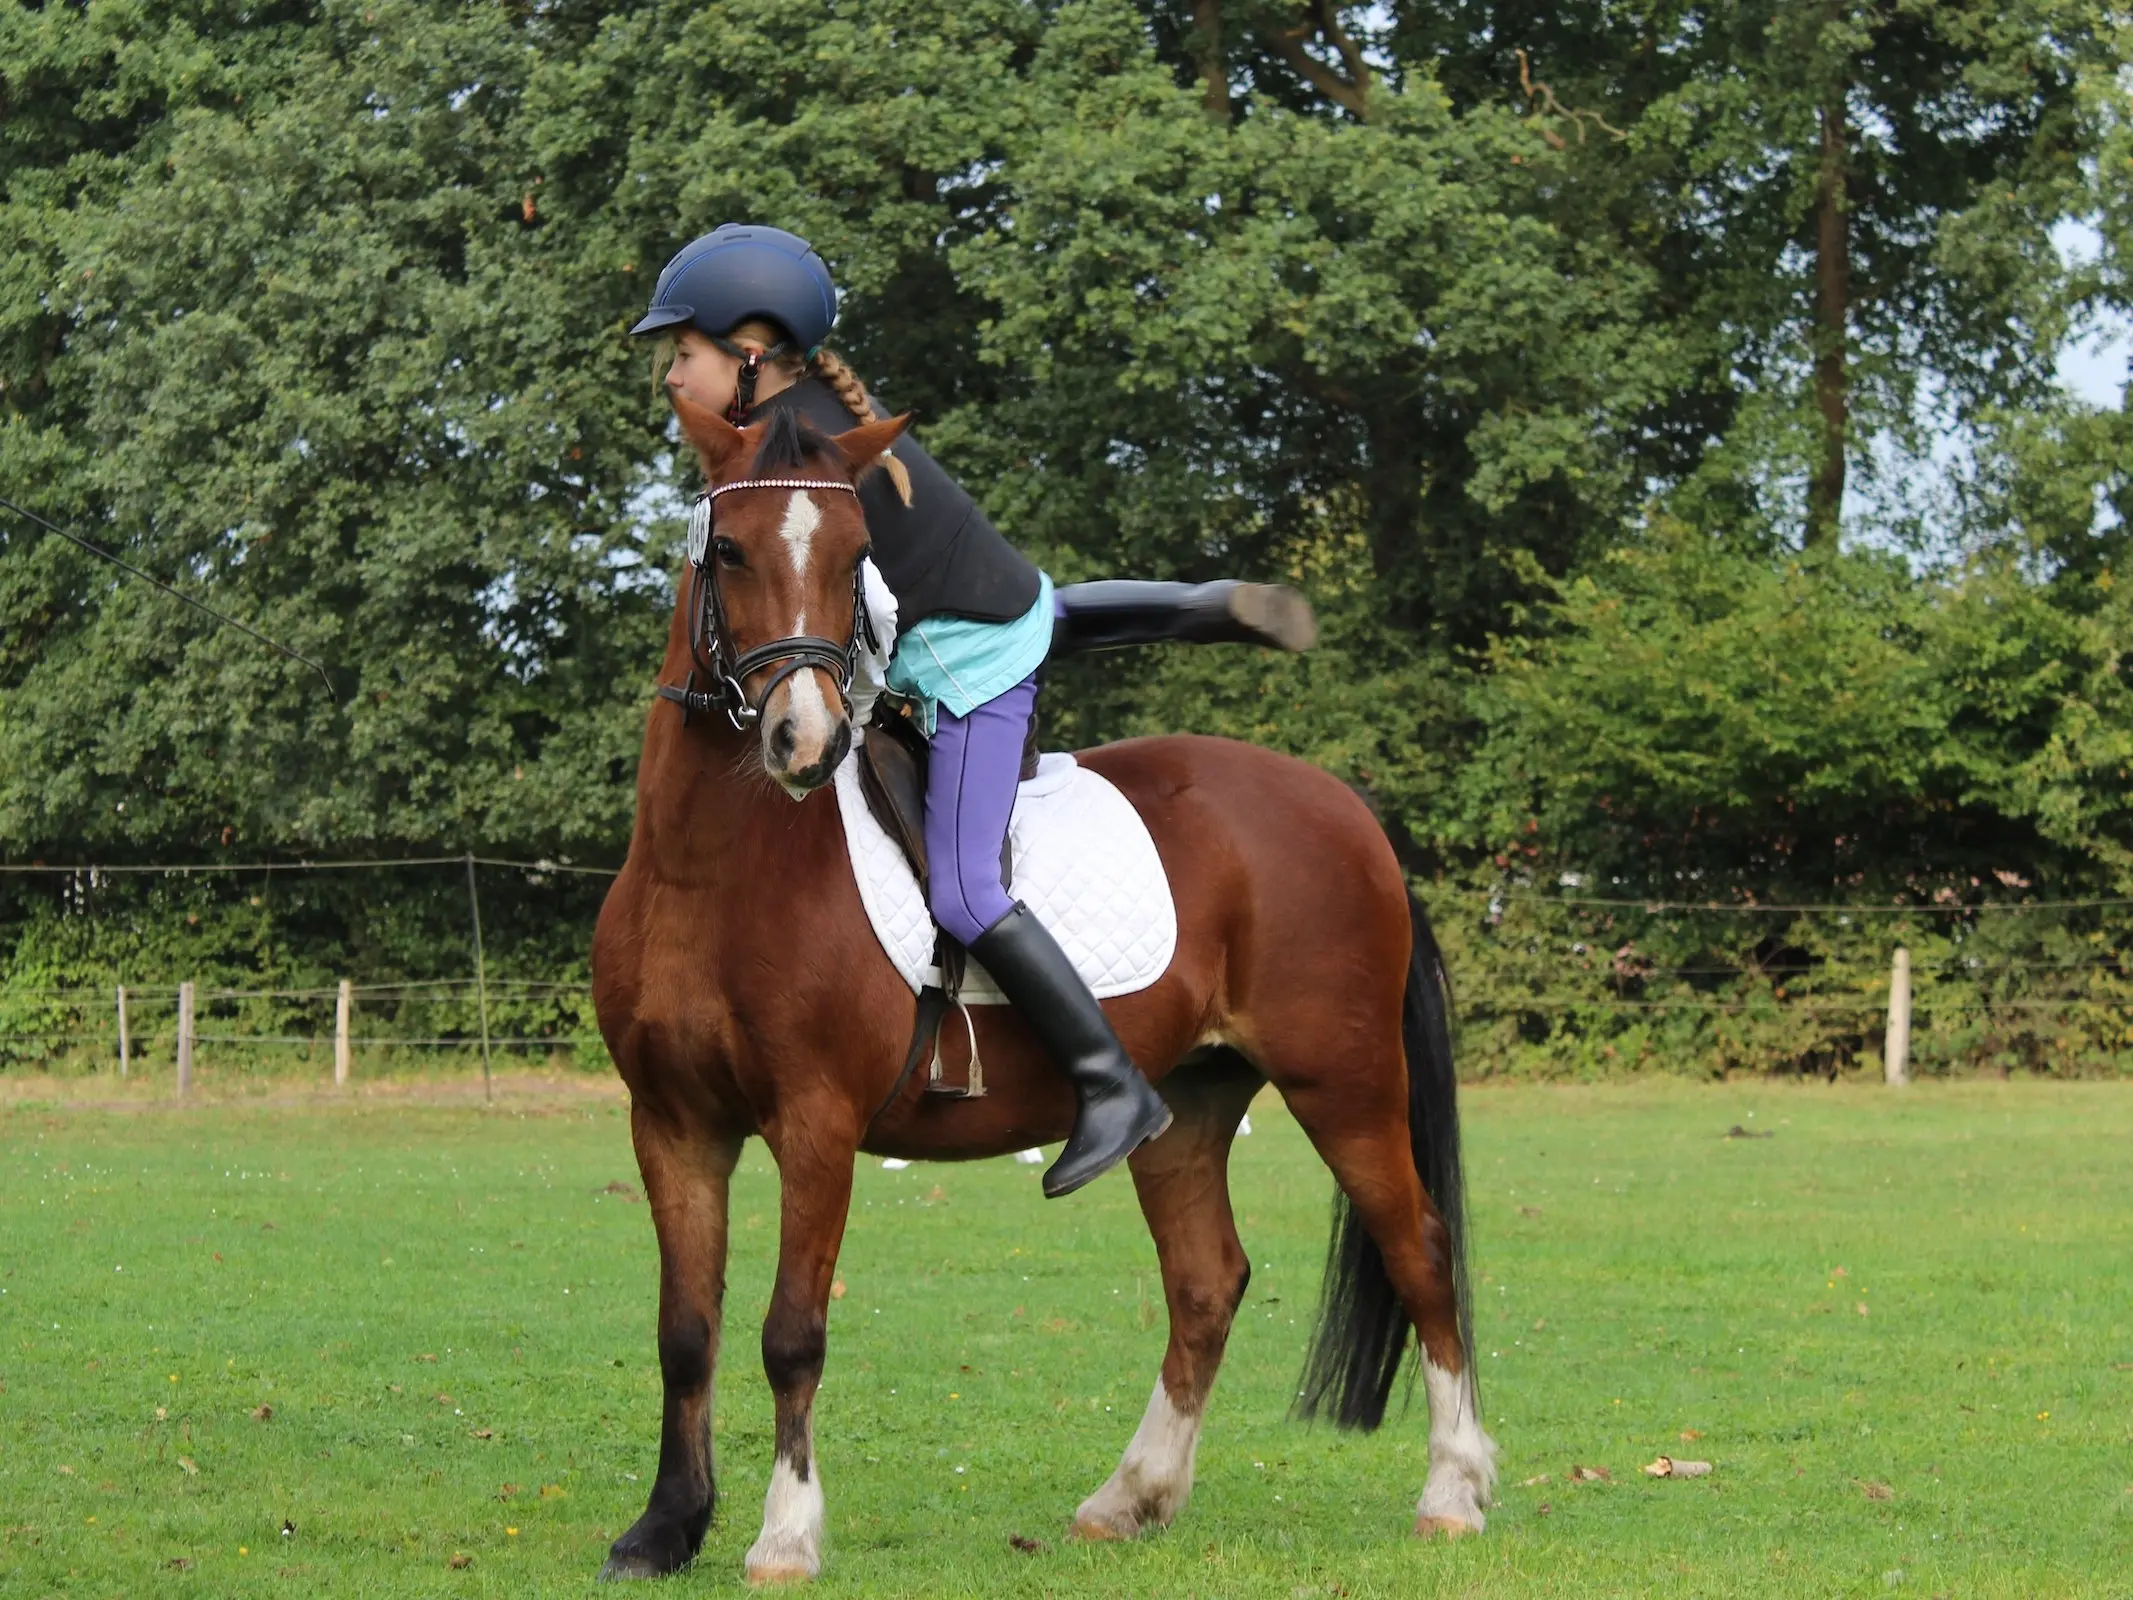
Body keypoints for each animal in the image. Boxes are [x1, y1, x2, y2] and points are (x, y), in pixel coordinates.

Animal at [589, 393, 1496, 1584]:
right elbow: (683, 1332)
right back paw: (1131, 1496)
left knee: (1419, 1250)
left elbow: (791, 1333)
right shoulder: (673, 1124)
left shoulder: (816, 1125)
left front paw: (784, 1536)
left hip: (1342, 1081)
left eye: (854, 556)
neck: (709, 870)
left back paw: (1453, 1491)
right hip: (1190, 1102)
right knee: (1206, 1281)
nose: (805, 738)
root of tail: (1345, 808)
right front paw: (664, 1528)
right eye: (729, 550)